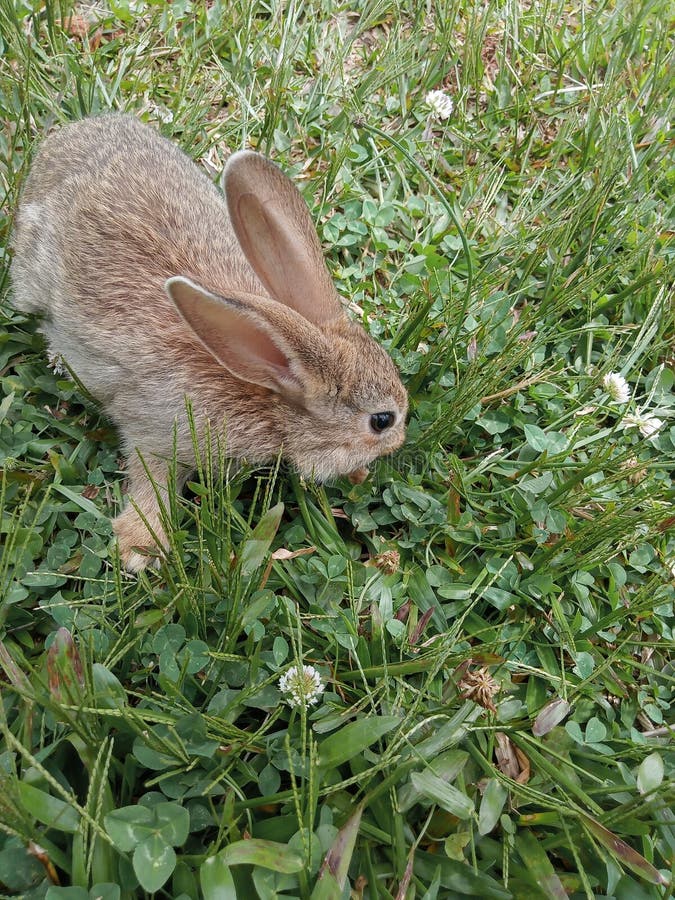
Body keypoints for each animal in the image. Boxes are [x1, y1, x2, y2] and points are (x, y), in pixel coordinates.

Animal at [10, 115, 407, 572]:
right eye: (381, 420)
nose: (400, 439)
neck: (269, 391)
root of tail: (56, 146)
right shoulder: (159, 429)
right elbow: (153, 478)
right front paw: (139, 547)